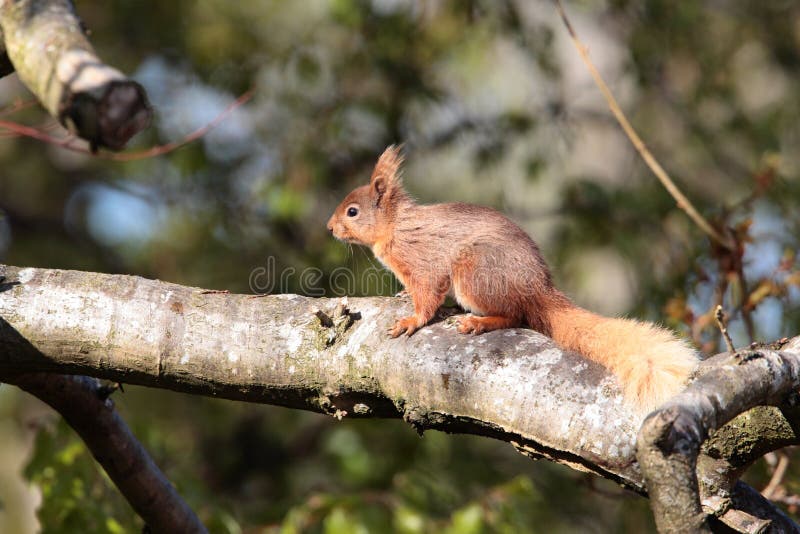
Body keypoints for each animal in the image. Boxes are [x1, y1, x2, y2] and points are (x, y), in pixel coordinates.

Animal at [327, 145, 699, 414]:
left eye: (353, 212)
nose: (329, 228)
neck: (394, 226)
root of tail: (539, 289)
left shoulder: (423, 261)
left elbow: (429, 294)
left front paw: (412, 320)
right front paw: (403, 298)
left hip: (475, 273)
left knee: (515, 314)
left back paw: (480, 322)